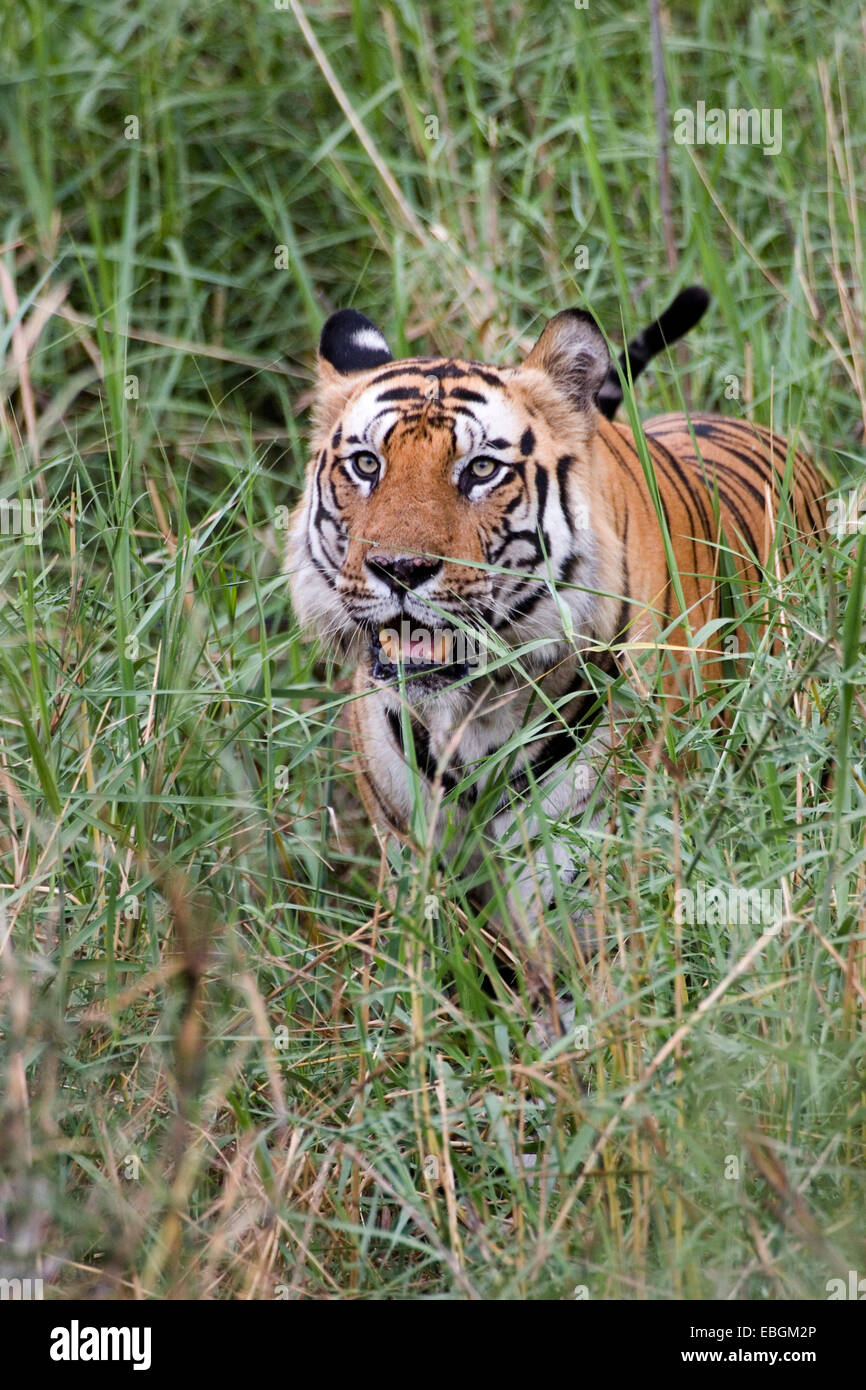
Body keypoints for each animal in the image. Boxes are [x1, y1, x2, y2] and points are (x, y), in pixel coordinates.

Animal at [288, 288, 826, 1028]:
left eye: (481, 469)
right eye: (368, 464)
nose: (399, 569)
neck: (471, 712)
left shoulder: (585, 865)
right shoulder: (413, 861)